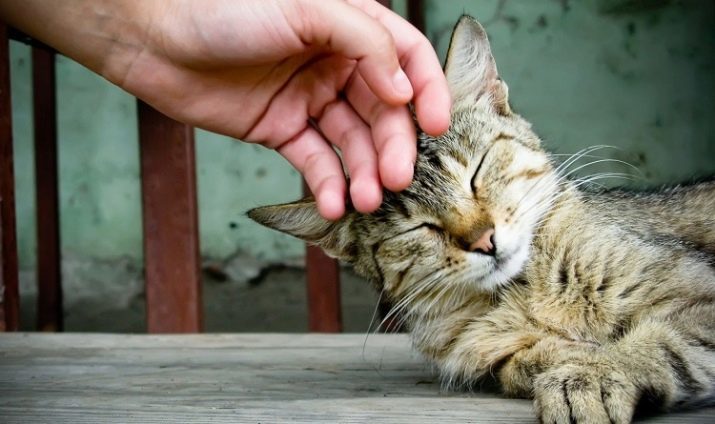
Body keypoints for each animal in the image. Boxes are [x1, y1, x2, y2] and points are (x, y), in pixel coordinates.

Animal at [248, 15, 715, 424]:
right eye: (420, 227)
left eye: (475, 173)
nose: (483, 240)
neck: (522, 293)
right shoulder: (491, 353)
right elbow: (520, 363)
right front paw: (564, 359)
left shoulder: (701, 297)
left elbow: (660, 343)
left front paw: (594, 375)